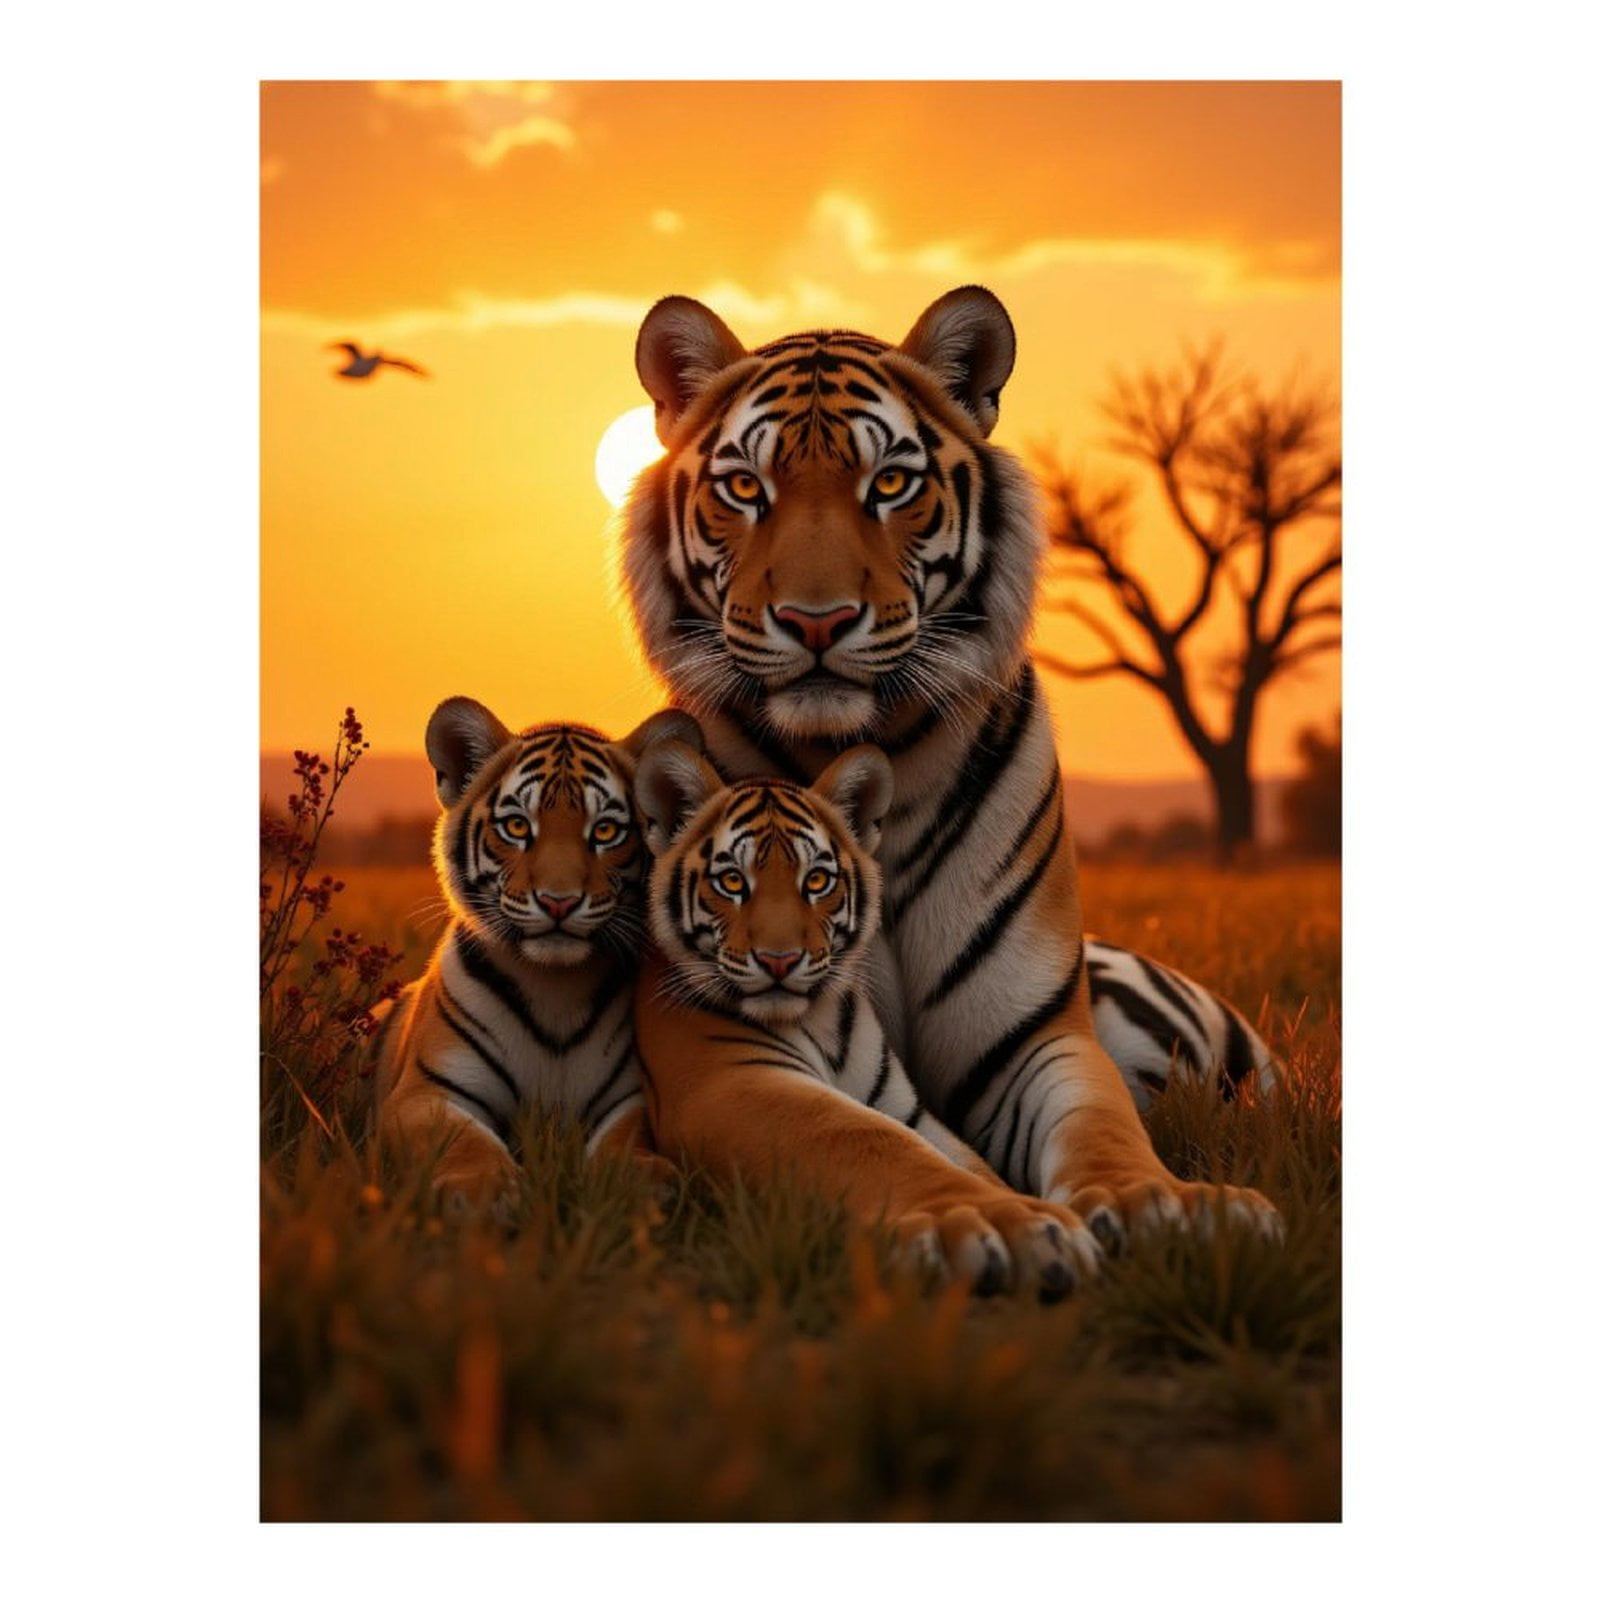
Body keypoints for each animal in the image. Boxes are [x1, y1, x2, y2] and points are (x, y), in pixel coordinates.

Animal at [370, 697, 697, 1212]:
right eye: (517, 826)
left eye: (606, 830)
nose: (558, 901)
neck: (554, 987)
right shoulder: (429, 1091)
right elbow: (462, 1138)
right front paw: (482, 1190)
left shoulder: (632, 1096)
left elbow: (626, 1139)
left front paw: (641, 1181)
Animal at [632, 734, 1103, 1298]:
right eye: (731, 882)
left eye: (816, 881)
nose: (779, 960)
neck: (817, 1019)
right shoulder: (729, 1084)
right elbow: (871, 1140)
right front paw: (1009, 1224)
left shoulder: (906, 1108)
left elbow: (964, 1160)